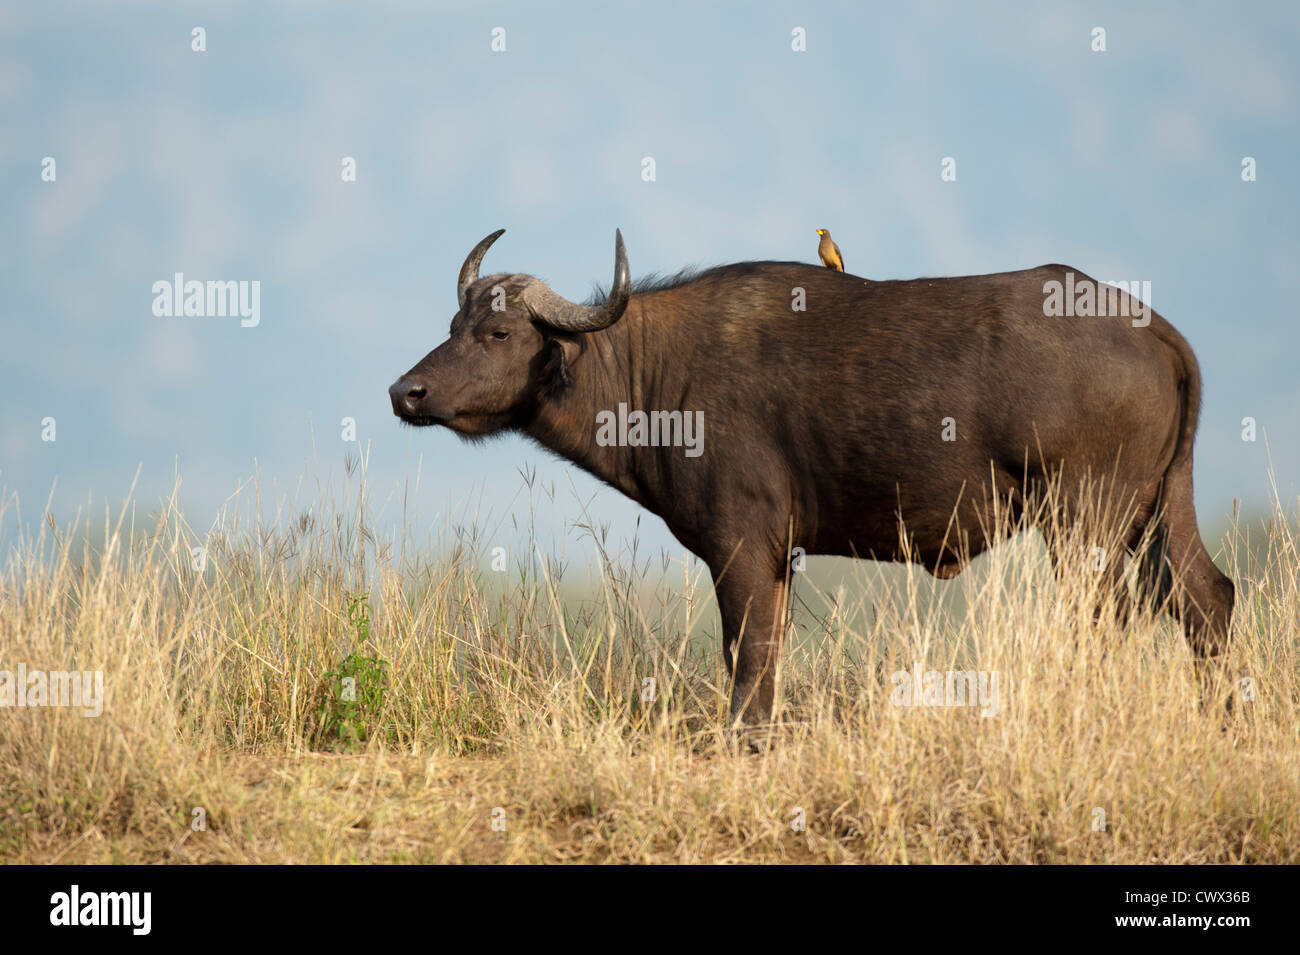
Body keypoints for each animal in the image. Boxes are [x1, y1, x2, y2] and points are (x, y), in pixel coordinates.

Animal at [389, 229, 1234, 726]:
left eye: (500, 331)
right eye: (455, 325)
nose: (407, 392)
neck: (655, 373)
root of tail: (1152, 328)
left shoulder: (741, 546)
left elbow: (747, 647)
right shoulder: (779, 558)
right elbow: (766, 650)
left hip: (1085, 524)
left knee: (1106, 620)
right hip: (1159, 516)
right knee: (1208, 601)